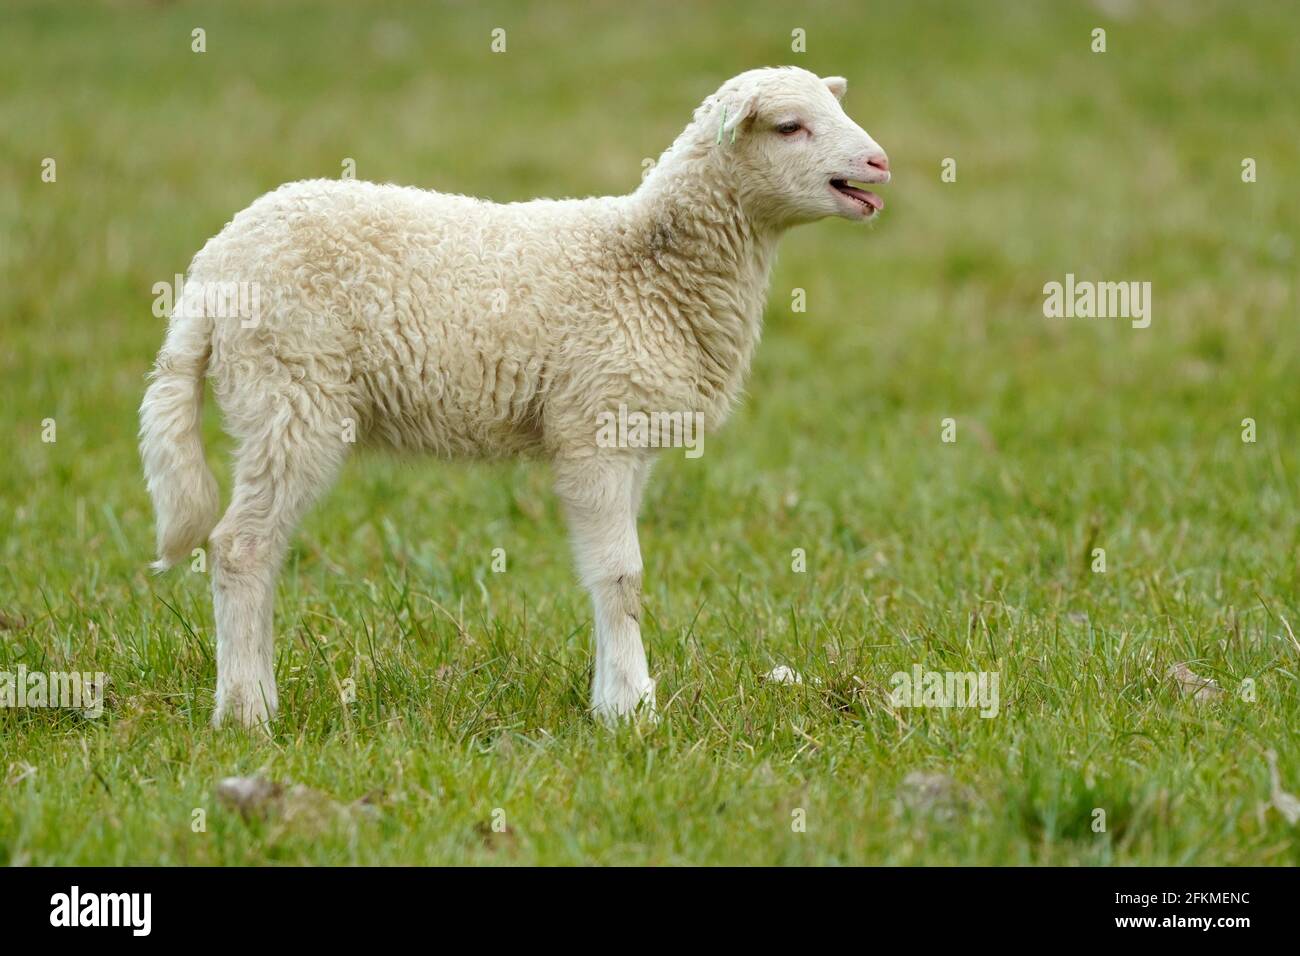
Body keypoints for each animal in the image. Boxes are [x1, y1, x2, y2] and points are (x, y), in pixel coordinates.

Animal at [139, 66, 890, 728]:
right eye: (790, 126)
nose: (879, 164)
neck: (647, 264)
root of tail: (210, 270)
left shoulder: (627, 432)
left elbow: (613, 575)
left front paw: (614, 699)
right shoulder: (594, 426)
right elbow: (621, 577)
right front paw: (633, 713)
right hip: (291, 392)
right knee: (240, 548)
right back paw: (247, 714)